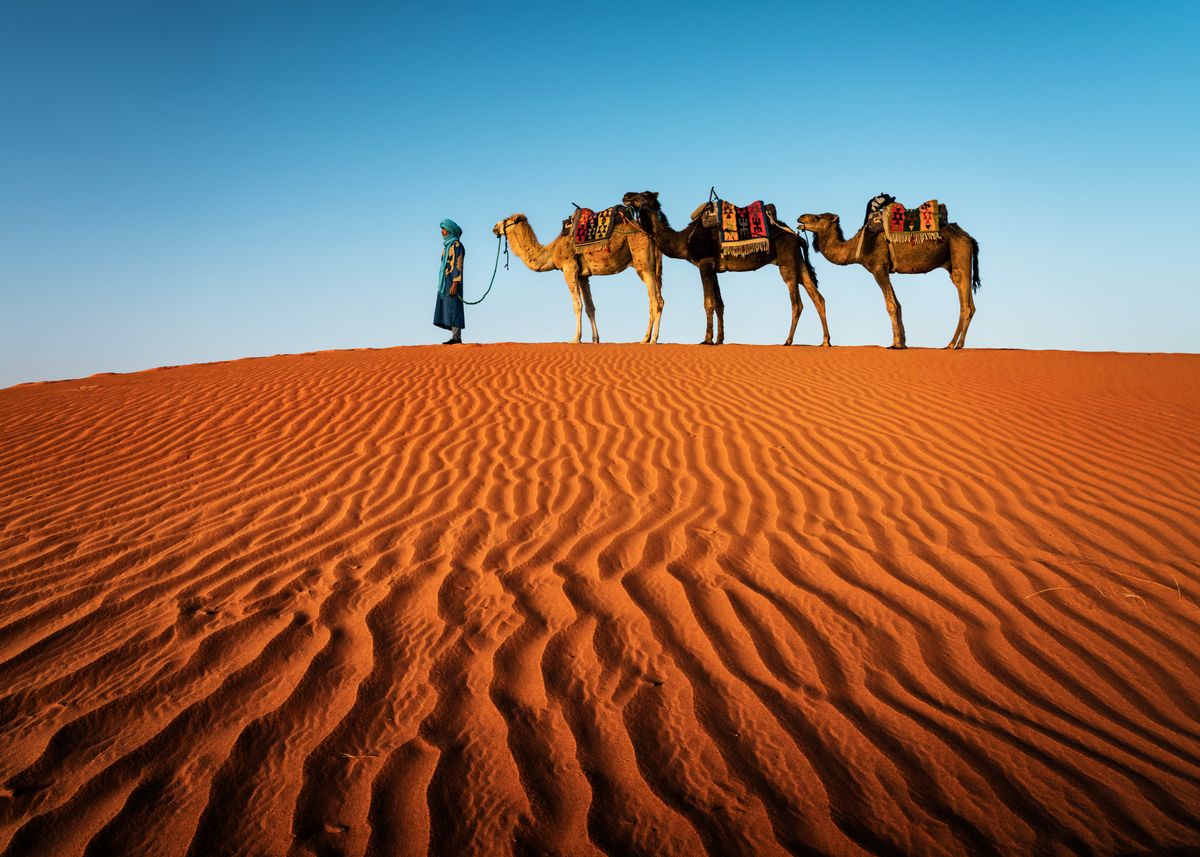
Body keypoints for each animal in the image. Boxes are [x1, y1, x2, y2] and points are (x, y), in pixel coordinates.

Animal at [492, 211, 664, 344]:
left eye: (507, 219)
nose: (494, 228)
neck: (552, 250)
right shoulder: (583, 276)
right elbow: (590, 307)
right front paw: (595, 339)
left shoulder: (569, 267)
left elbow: (577, 305)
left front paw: (575, 339)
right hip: (652, 267)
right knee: (659, 300)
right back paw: (650, 338)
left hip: (643, 264)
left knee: (654, 300)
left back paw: (649, 339)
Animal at [621, 191, 829, 346]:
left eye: (643, 195)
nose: (626, 196)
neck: (684, 240)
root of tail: (797, 236)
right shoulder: (714, 269)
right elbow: (720, 304)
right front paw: (720, 339)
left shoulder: (704, 263)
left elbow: (708, 302)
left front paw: (706, 340)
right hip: (799, 264)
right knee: (818, 298)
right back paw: (825, 341)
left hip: (787, 263)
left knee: (797, 303)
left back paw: (788, 341)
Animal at [796, 209, 981, 349]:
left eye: (818, 217)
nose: (800, 217)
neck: (857, 247)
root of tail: (969, 238)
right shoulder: (884, 270)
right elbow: (898, 304)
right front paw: (901, 342)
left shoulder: (879, 268)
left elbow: (891, 305)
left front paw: (896, 344)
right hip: (953, 263)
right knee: (966, 300)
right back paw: (951, 344)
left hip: (960, 254)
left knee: (966, 304)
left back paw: (955, 345)